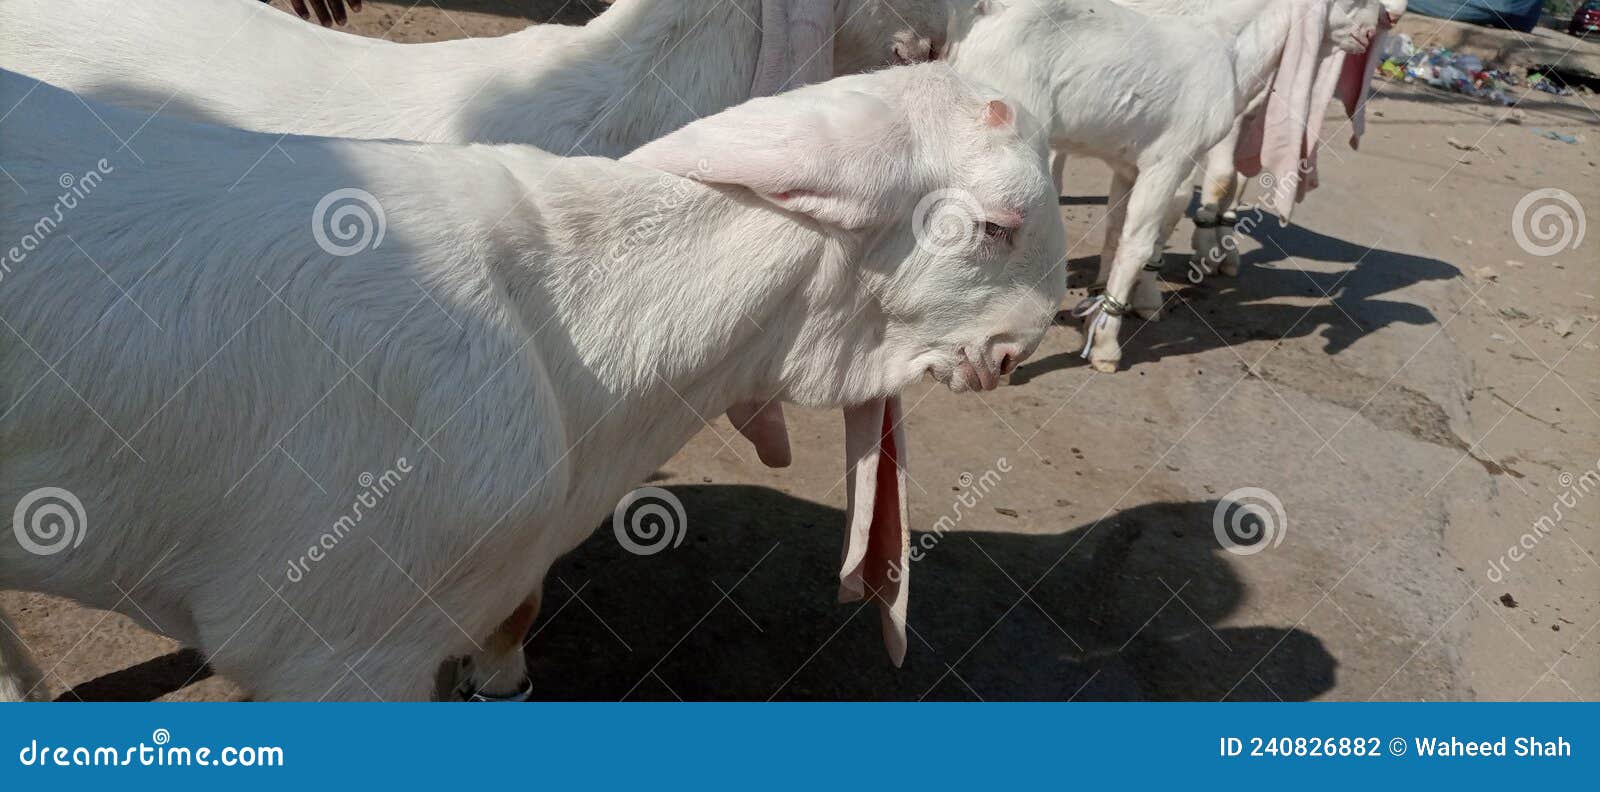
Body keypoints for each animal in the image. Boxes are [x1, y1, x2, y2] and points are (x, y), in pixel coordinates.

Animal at [949, 0, 1392, 371]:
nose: (1373, 31)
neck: (1230, 49)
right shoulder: (1170, 160)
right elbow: (1138, 244)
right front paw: (1107, 345)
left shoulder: (1130, 164)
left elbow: (1117, 229)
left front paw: (1104, 298)